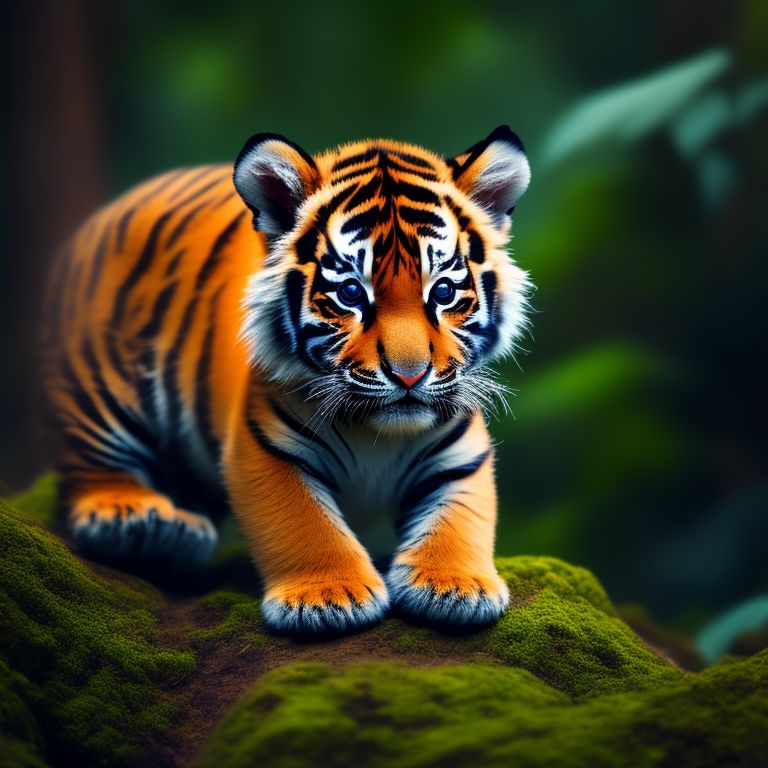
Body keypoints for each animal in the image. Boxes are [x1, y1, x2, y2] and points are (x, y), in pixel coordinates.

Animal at [42, 126, 531, 636]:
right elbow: (305, 523)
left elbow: (461, 518)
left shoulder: (460, 454)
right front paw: (328, 598)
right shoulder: (267, 447)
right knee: (96, 464)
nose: (409, 375)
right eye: (350, 293)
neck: (377, 431)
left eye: (444, 292)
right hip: (98, 389)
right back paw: (136, 521)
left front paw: (454, 587)